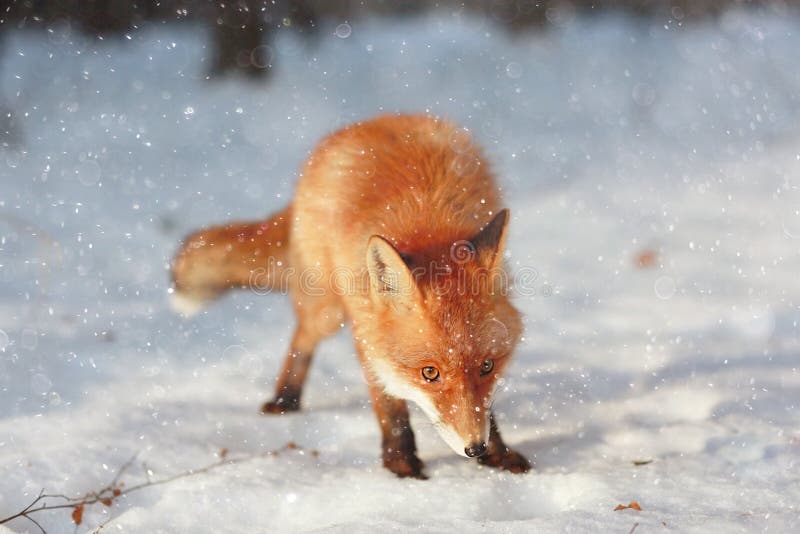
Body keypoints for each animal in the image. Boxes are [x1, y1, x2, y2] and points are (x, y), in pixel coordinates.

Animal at [170, 114, 531, 478]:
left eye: (487, 366)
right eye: (430, 373)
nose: (475, 448)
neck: (428, 228)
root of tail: (366, 122)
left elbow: (485, 409)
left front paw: (498, 454)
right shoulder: (366, 326)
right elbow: (389, 405)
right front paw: (401, 465)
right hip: (327, 311)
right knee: (303, 336)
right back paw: (285, 400)